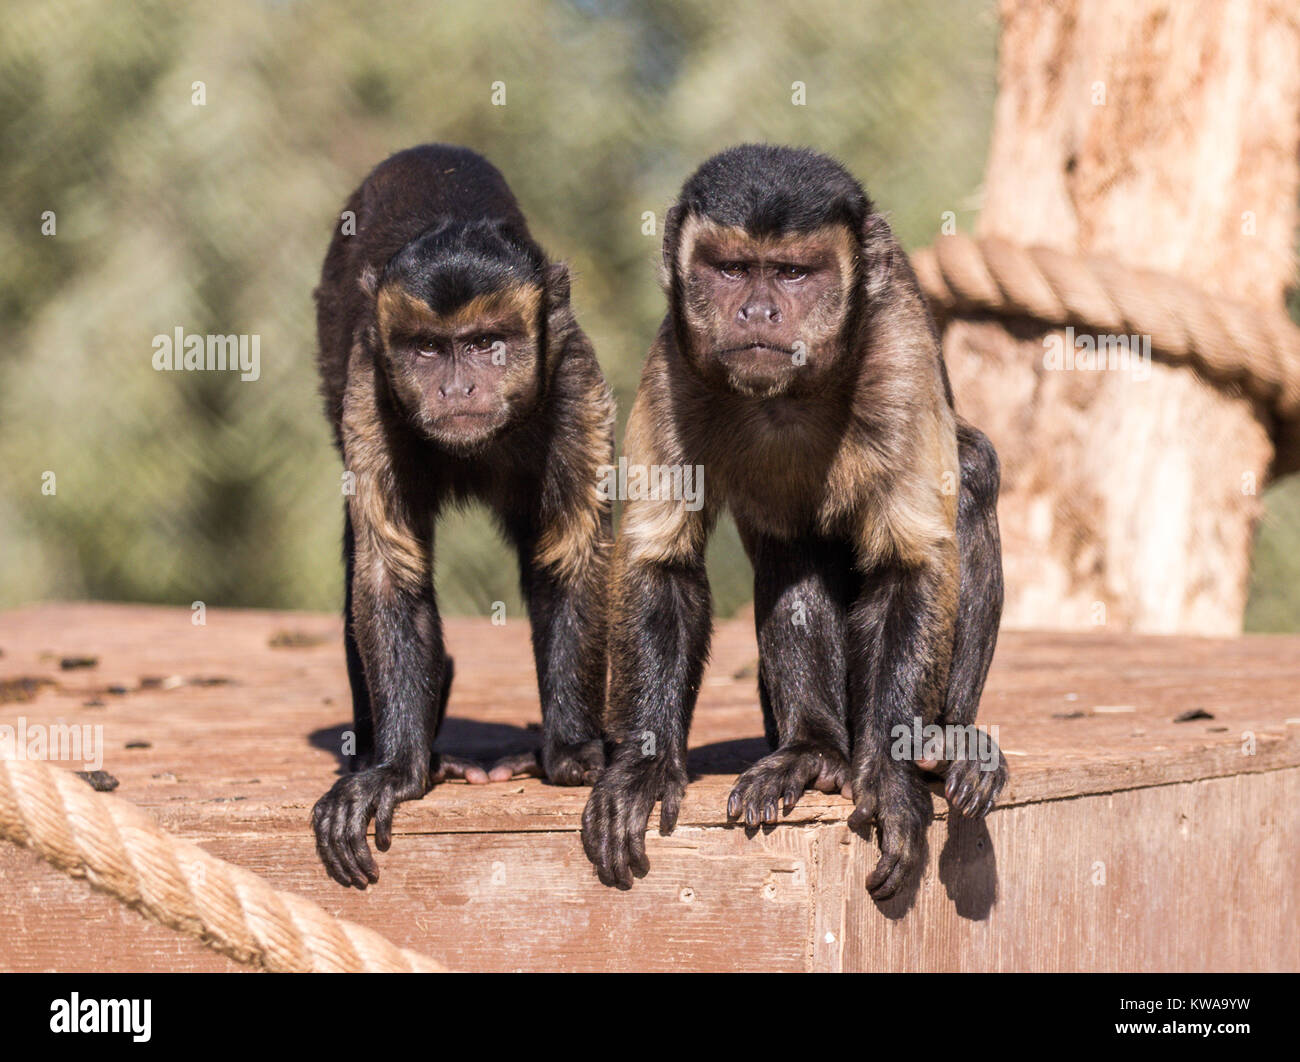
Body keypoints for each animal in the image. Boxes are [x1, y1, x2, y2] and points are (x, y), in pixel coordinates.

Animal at [311, 144, 614, 889]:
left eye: (484, 343)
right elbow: (388, 575)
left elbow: (570, 558)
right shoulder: (367, 376)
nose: (456, 388)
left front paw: (571, 752)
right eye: (427, 348)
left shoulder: (574, 373)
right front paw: (396, 768)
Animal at [581, 145, 1005, 899]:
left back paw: (947, 745)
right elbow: (663, 561)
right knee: (792, 551)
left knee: (971, 470)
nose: (757, 309)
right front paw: (642, 764)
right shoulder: (675, 364)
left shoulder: (899, 353)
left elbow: (912, 562)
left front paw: (893, 778)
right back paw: (814, 752)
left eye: (792, 273)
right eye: (729, 269)